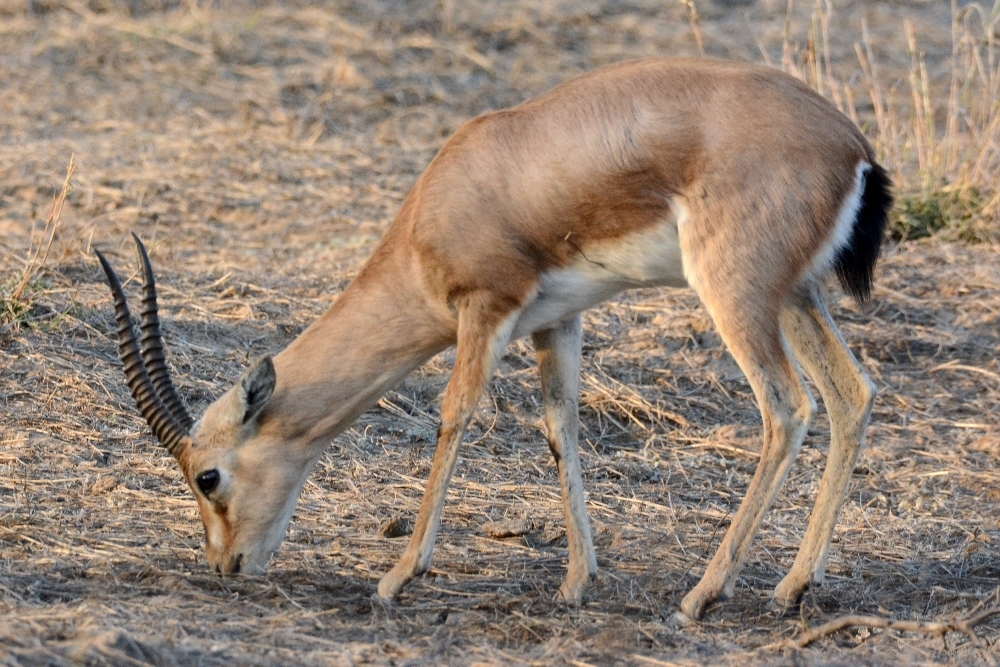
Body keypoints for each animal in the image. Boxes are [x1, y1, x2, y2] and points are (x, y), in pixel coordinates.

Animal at [96, 57, 892, 621]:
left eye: (208, 476)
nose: (225, 564)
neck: (444, 203)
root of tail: (850, 145)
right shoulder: (556, 320)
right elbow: (560, 428)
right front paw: (575, 583)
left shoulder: (483, 309)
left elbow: (454, 417)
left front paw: (396, 577)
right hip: (795, 295)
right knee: (851, 395)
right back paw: (791, 587)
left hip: (735, 294)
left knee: (787, 407)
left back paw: (703, 594)